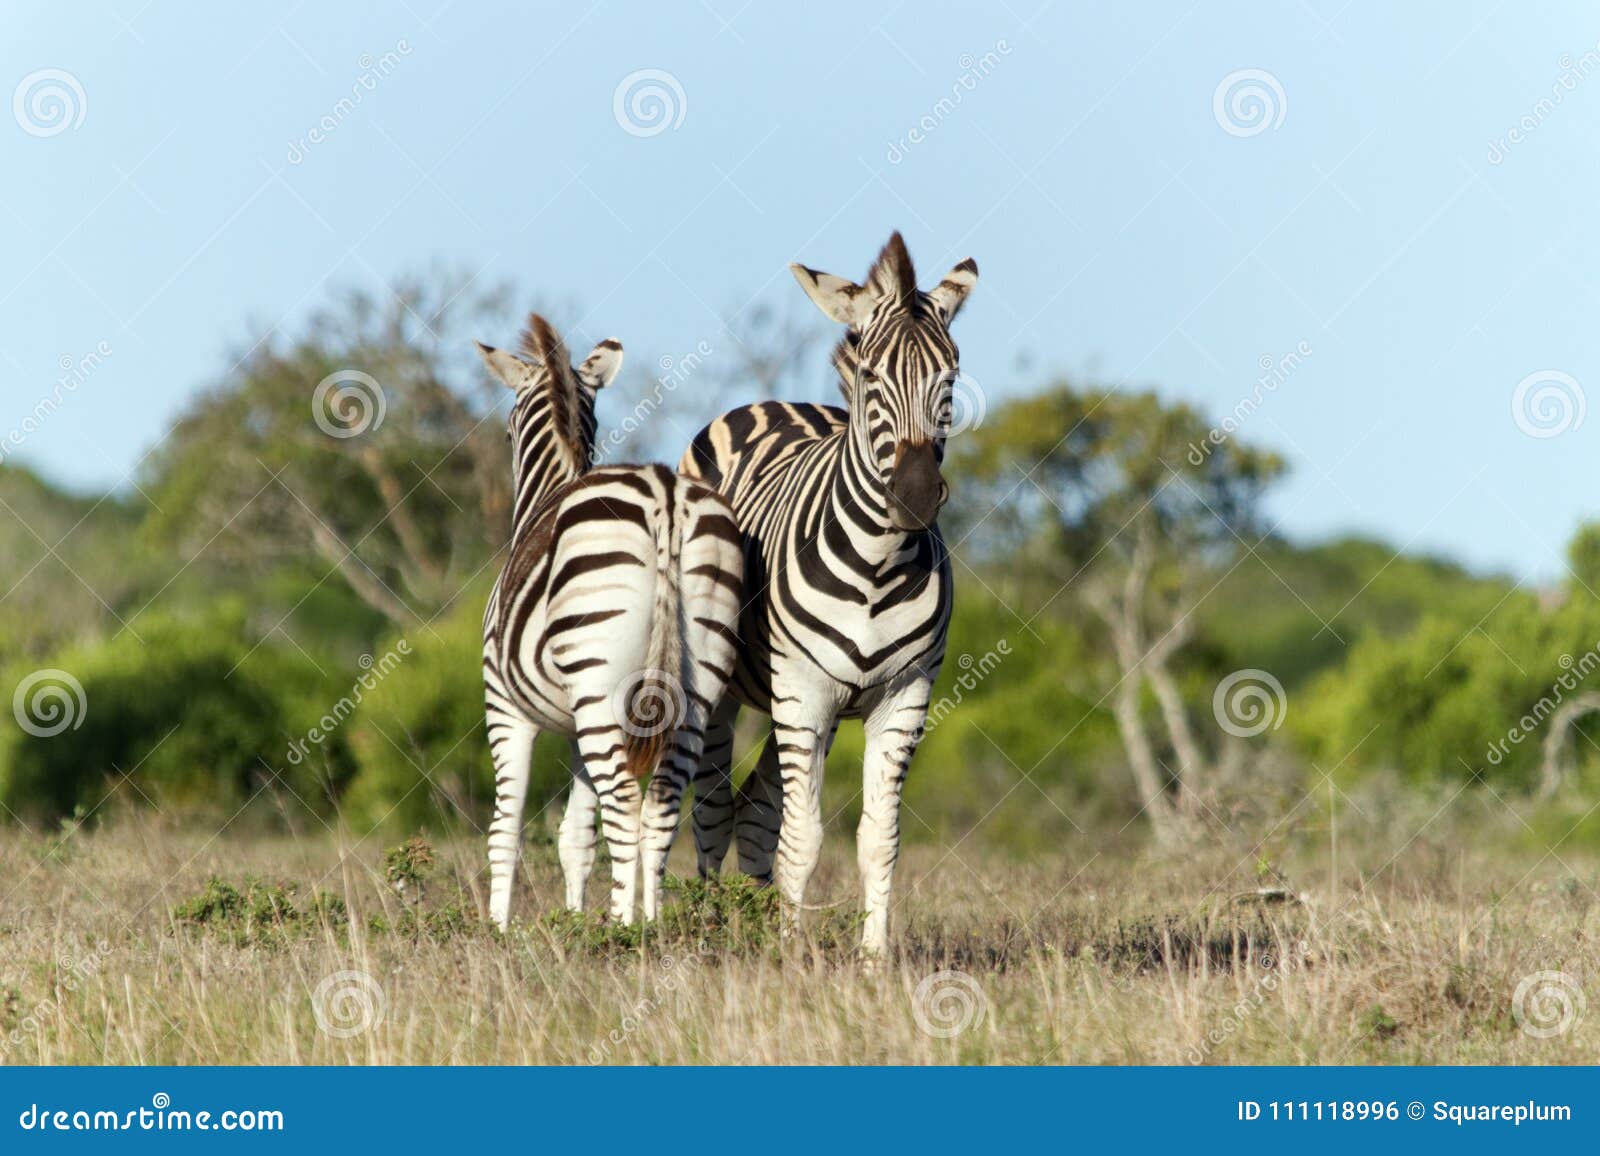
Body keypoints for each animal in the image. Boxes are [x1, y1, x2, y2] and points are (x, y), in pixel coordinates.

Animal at [478, 313, 743, 930]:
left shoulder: (504, 705)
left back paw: (623, 928)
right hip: (696, 683)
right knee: (662, 802)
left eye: (508, 432)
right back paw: (652, 924)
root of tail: (667, 495)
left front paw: (497, 929)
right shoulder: (577, 725)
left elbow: (506, 828)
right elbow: (576, 836)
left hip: (601, 685)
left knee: (624, 801)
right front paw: (574, 924)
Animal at [679, 232, 978, 956]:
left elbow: (877, 839)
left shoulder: (903, 697)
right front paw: (790, 964)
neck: (877, 568)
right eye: (871, 377)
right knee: (710, 809)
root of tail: (769, 402)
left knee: (755, 810)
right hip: (726, 686)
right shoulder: (803, 689)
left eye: (950, 379)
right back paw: (705, 930)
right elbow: (804, 837)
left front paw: (871, 962)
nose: (915, 497)